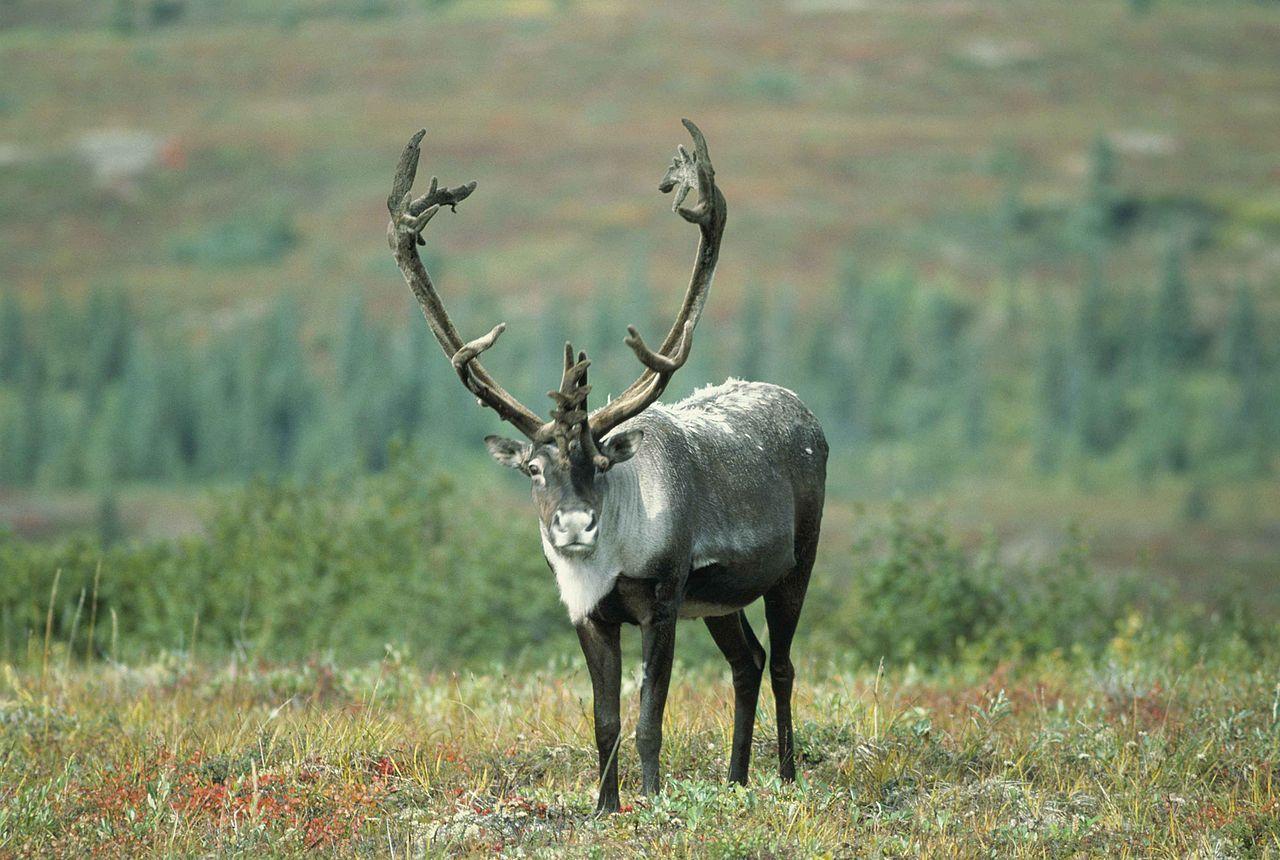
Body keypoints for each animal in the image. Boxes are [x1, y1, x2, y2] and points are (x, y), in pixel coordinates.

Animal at [386, 120, 827, 813]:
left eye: (599, 460)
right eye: (532, 469)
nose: (573, 526)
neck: (608, 562)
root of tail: (807, 414)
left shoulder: (663, 601)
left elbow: (649, 717)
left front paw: (651, 801)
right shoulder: (590, 617)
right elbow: (604, 720)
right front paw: (604, 807)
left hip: (794, 563)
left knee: (782, 663)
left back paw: (783, 777)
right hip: (720, 600)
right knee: (748, 663)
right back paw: (736, 781)